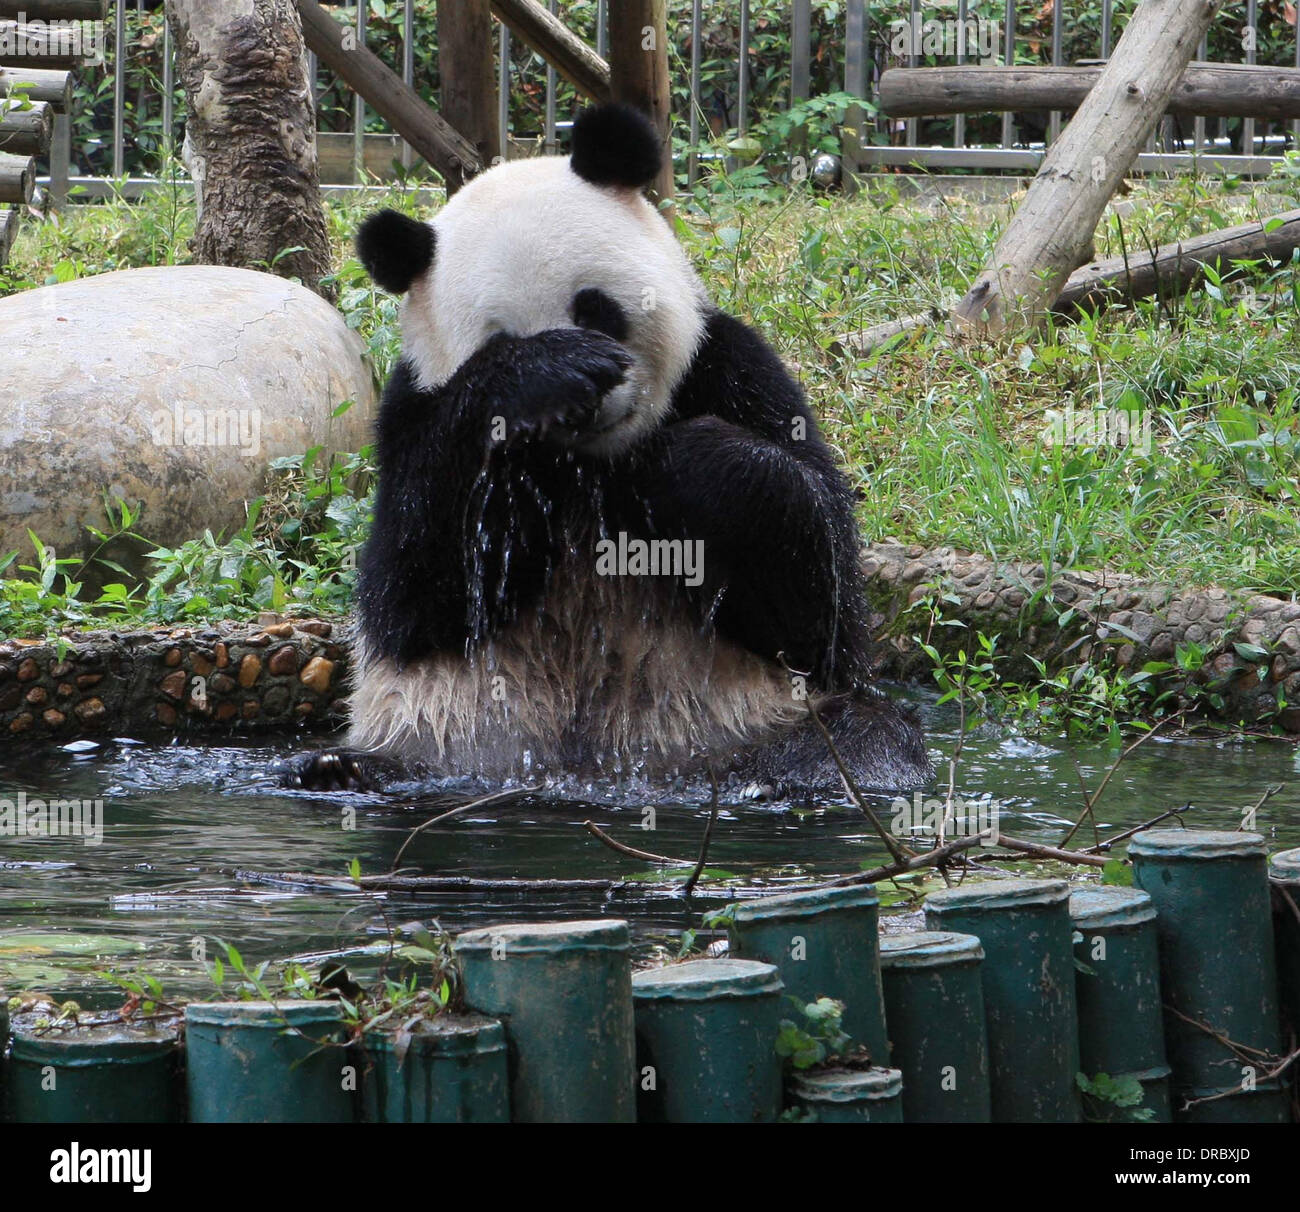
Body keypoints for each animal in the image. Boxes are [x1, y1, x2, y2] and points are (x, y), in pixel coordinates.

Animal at [288, 103, 931, 796]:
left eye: (594, 308)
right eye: (500, 340)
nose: (583, 406)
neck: (589, 468)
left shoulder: (730, 367)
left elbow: (822, 603)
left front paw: (677, 461)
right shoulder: (410, 410)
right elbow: (412, 592)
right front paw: (539, 378)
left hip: (753, 717)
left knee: (860, 738)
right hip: (446, 735)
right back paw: (339, 768)